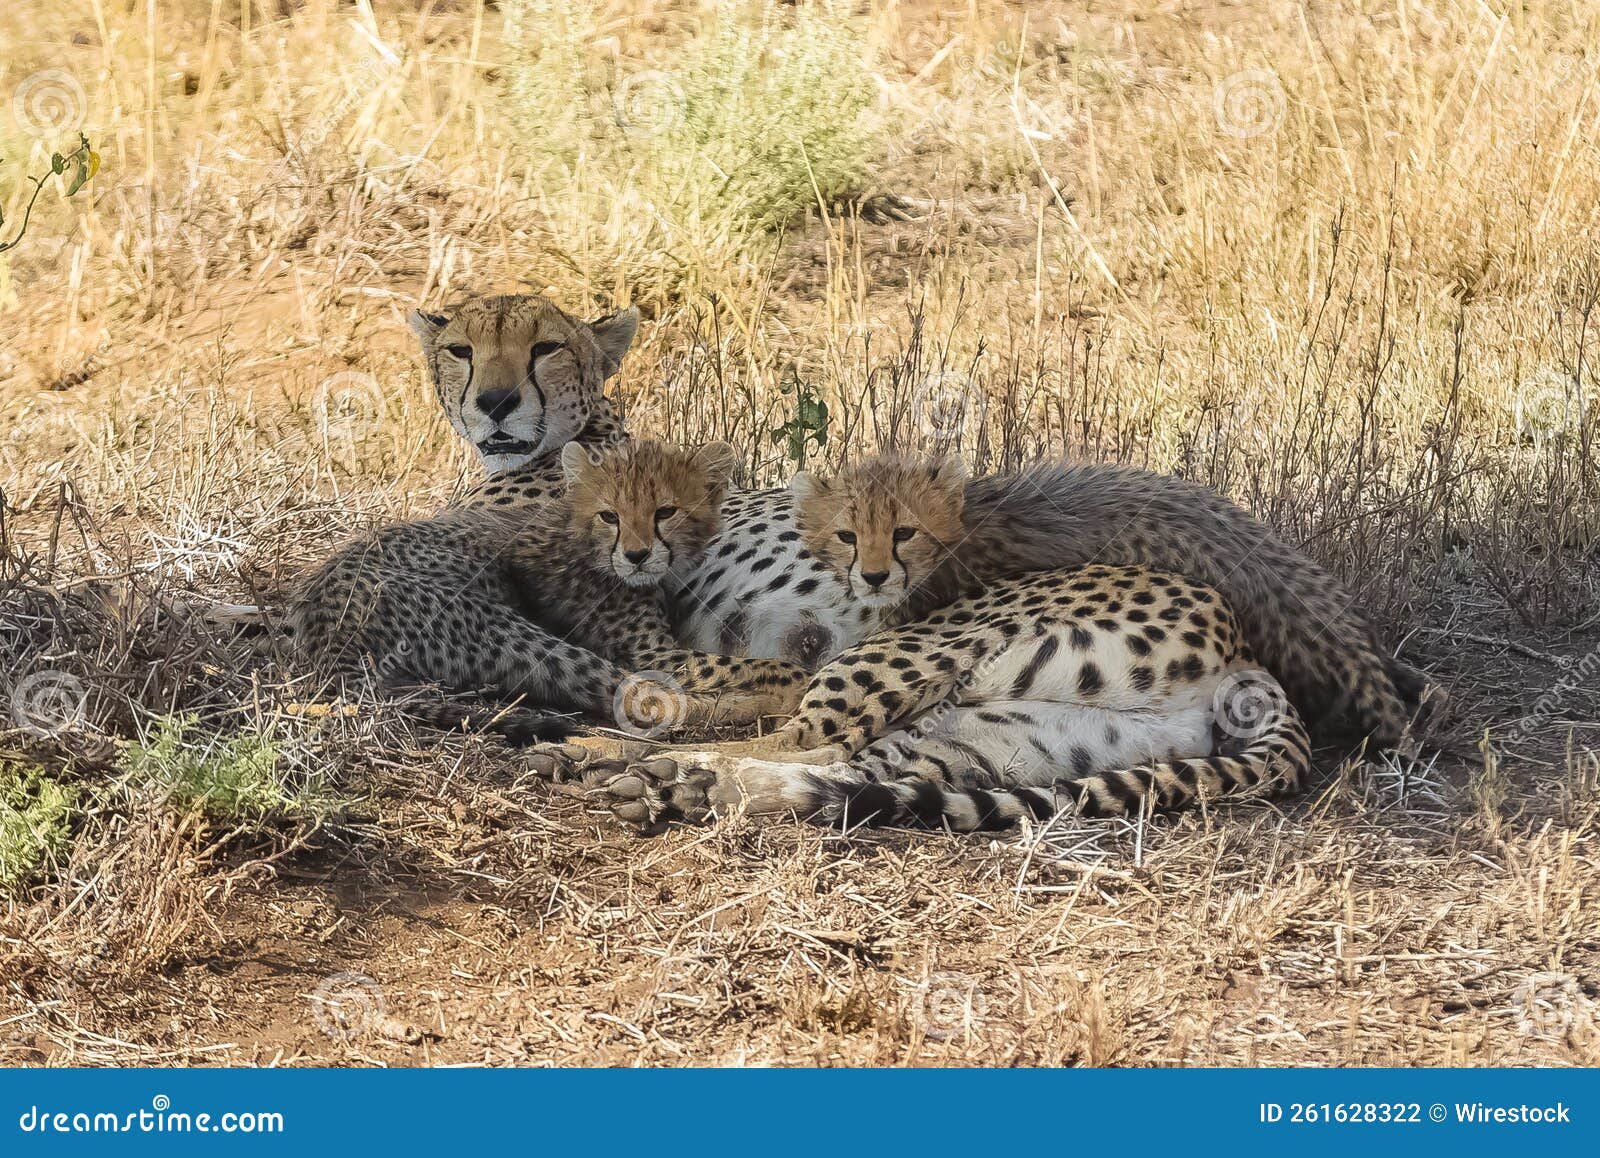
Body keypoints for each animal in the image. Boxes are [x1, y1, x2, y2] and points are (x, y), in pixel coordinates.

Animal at [281, 439, 809, 742]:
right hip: (504, 629)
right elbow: (768, 666)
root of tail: (319, 625)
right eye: (610, 514)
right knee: (642, 699)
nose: (637, 555)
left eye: (665, 512)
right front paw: (791, 685)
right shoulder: (655, 653)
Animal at [587, 454, 1312, 834]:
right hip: (1005, 735)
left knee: (806, 738)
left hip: (934, 646)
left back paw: (650, 771)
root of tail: (1246, 657)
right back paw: (678, 784)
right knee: (843, 765)